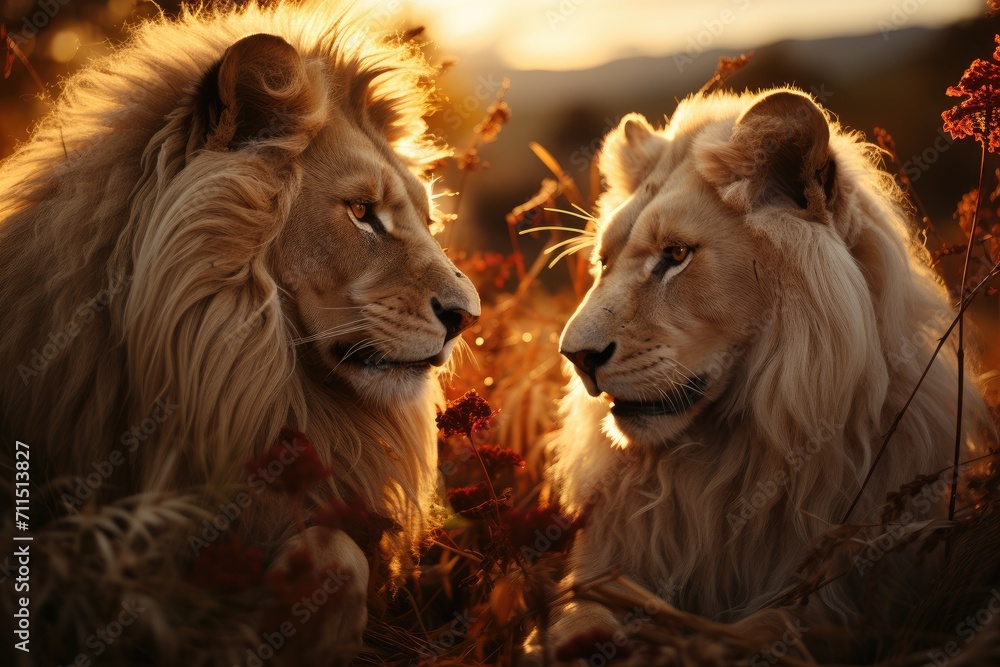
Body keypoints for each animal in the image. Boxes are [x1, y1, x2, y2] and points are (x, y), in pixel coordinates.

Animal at [526, 88, 993, 660]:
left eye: (675, 255)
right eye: (603, 263)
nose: (575, 356)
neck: (729, 461)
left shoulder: (850, 595)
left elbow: (769, 630)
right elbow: (580, 610)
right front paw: (579, 639)